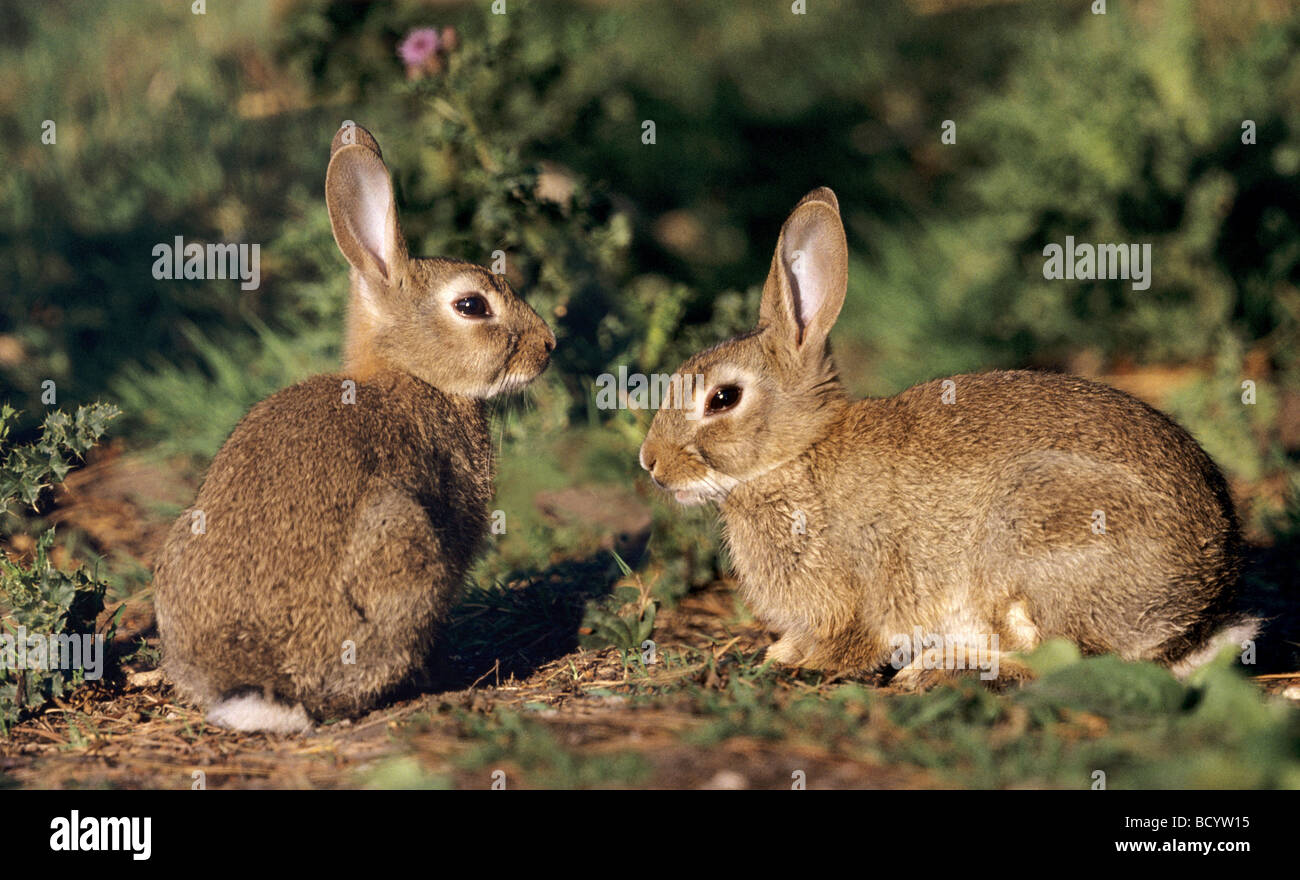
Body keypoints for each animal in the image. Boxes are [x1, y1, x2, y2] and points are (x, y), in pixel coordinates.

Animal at [638, 187, 1256, 689]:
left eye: (723, 399)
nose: (650, 464)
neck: (797, 456)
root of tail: (1198, 612)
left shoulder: (858, 595)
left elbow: (851, 644)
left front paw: (802, 667)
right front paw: (774, 655)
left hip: (1035, 536)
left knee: (1068, 661)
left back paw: (937, 670)